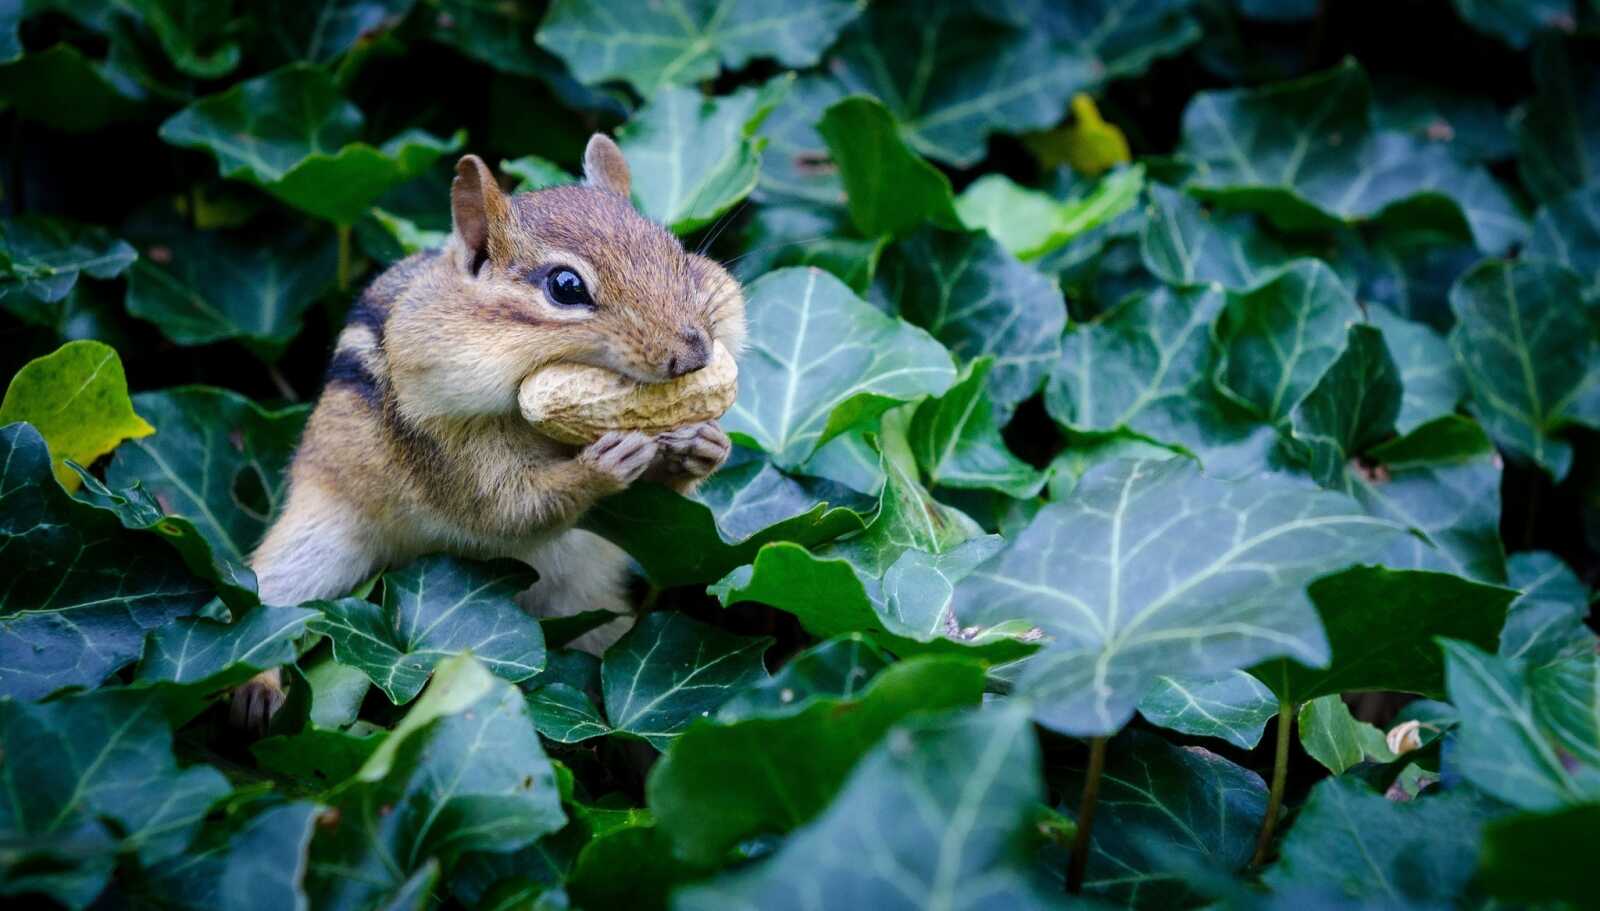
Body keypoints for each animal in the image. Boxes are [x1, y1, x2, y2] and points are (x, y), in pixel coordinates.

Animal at [229, 134, 746, 733]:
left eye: (676, 252)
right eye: (566, 286)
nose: (695, 353)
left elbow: (658, 507)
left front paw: (705, 448)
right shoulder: (450, 453)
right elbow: (507, 508)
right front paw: (601, 465)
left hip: (590, 608)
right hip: (313, 543)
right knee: (267, 612)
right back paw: (255, 688)